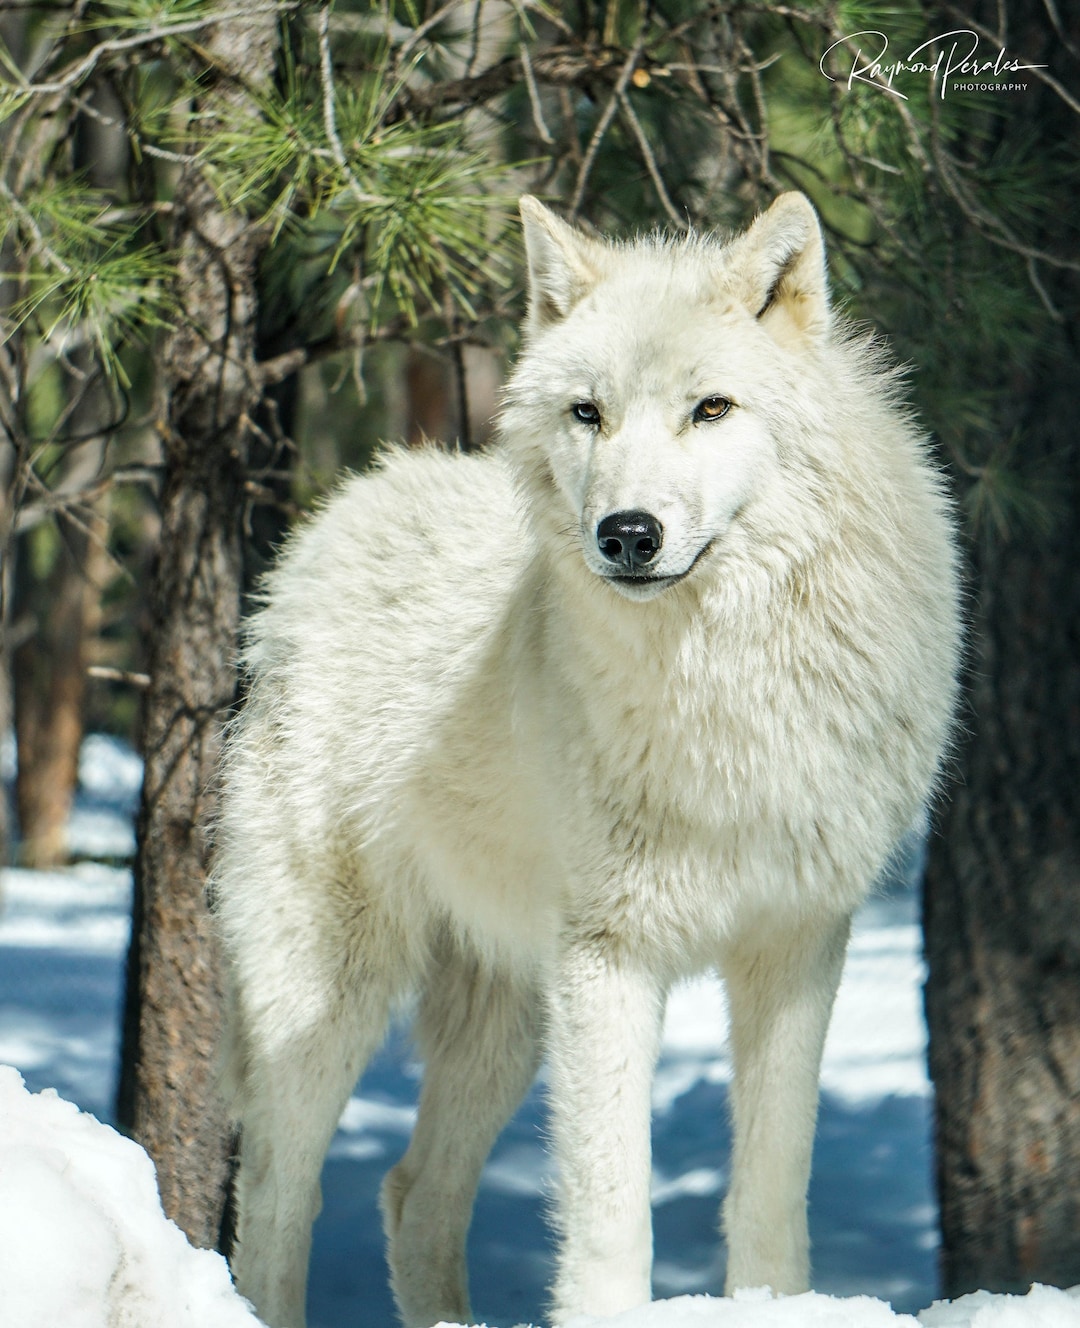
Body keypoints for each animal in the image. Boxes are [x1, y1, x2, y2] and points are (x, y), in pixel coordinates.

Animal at [214, 193, 961, 1328]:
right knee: (276, 1194)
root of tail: (343, 510)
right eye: (587, 414)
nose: (628, 533)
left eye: (710, 409)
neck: (723, 684)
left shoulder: (798, 941)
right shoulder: (609, 957)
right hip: (334, 992)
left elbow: (771, 1195)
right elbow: (612, 1218)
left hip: (507, 1015)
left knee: (412, 1192)